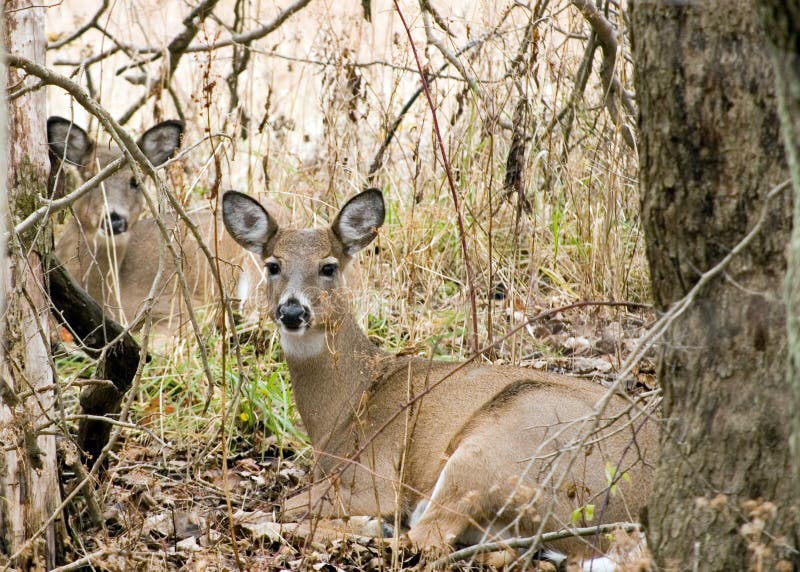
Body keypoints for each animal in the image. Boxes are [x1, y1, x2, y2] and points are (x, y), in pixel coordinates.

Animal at [221, 188, 659, 566]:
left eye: (328, 266)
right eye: (273, 265)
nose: (293, 311)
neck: (348, 407)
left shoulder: (373, 476)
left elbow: (283, 505)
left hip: (497, 446)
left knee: (424, 538)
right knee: (496, 551)